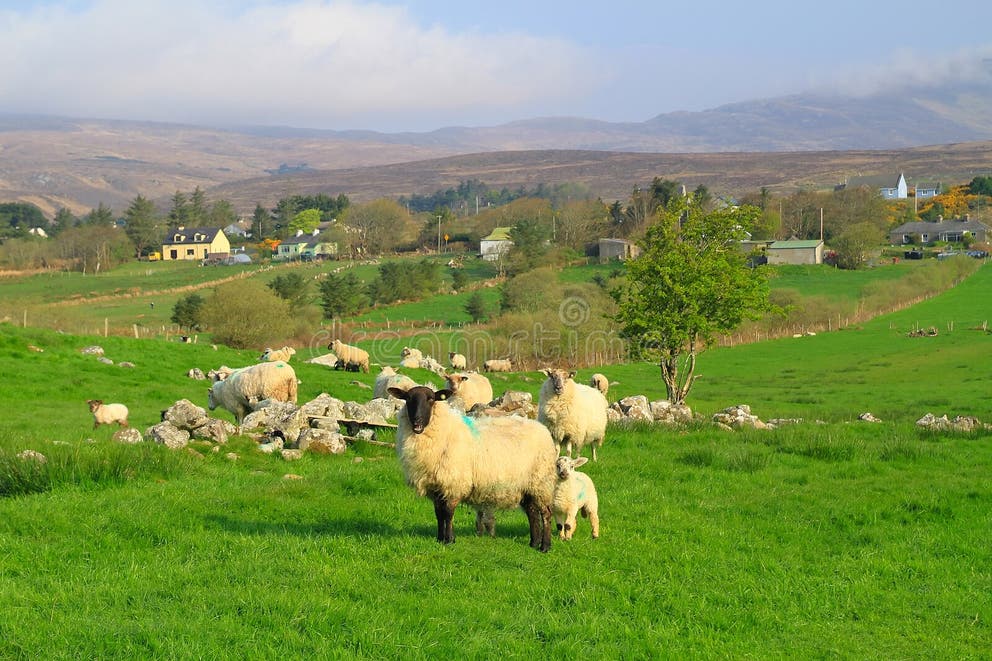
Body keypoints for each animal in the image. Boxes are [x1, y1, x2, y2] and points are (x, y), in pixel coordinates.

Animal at [388, 385, 557, 552]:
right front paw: (440, 538)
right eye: (408, 398)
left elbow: (448, 513)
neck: (444, 431)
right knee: (532, 513)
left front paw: (449, 540)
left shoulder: (454, 483)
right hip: (527, 486)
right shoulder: (436, 487)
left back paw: (545, 546)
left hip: (541, 482)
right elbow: (439, 514)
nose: (417, 421)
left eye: (431, 399)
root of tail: (543, 429)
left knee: (546, 514)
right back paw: (533, 543)